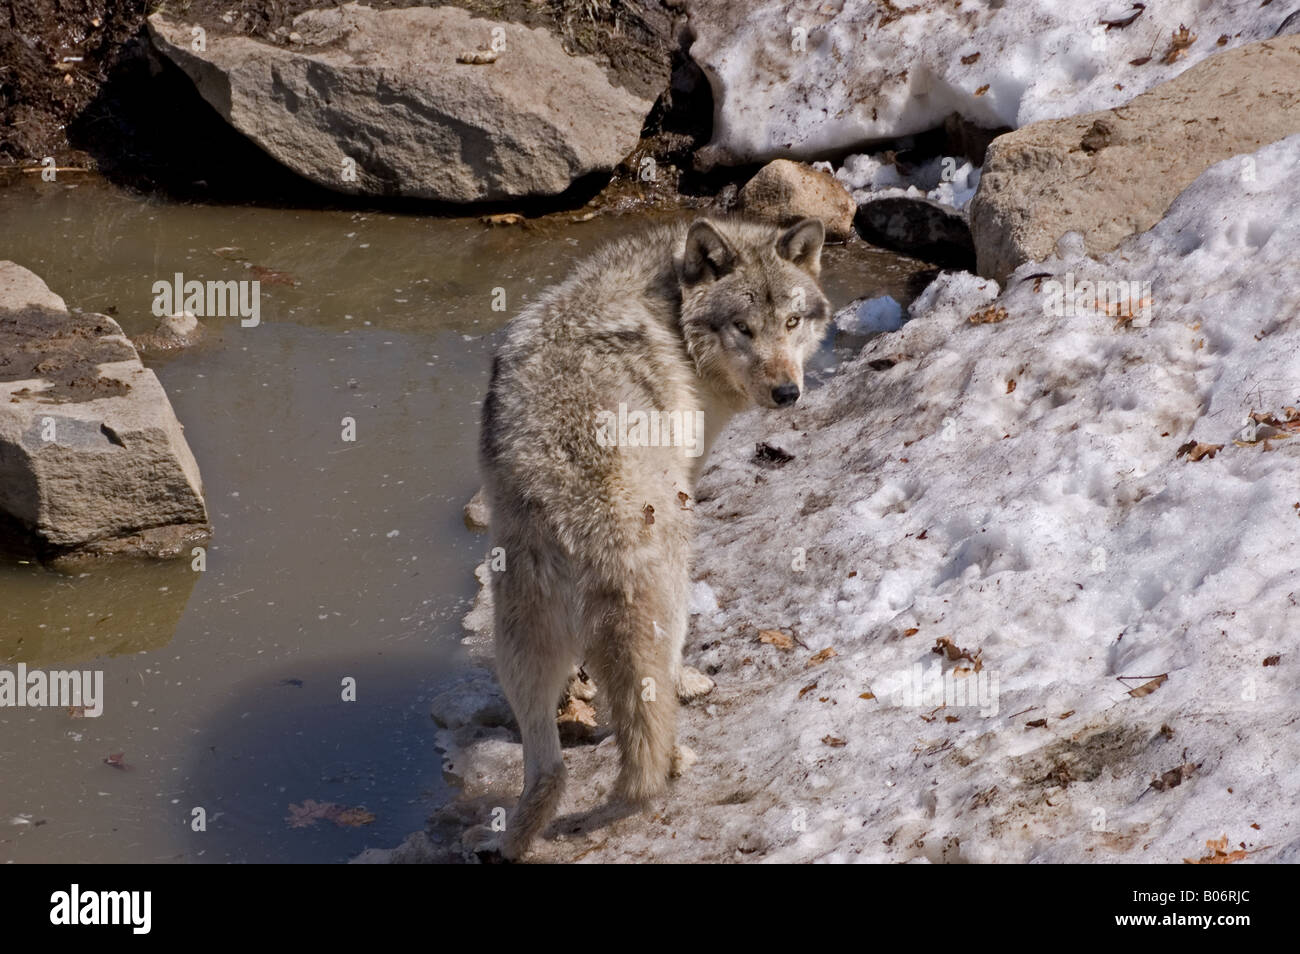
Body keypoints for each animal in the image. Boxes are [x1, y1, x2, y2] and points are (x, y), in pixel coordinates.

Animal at [479, 215, 831, 859]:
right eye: (744, 328)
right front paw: (689, 684)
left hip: (517, 640)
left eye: (792, 322)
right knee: (654, 683)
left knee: (548, 768)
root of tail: (580, 498)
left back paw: (517, 835)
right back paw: (672, 757)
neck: (671, 305)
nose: (787, 394)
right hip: (672, 568)